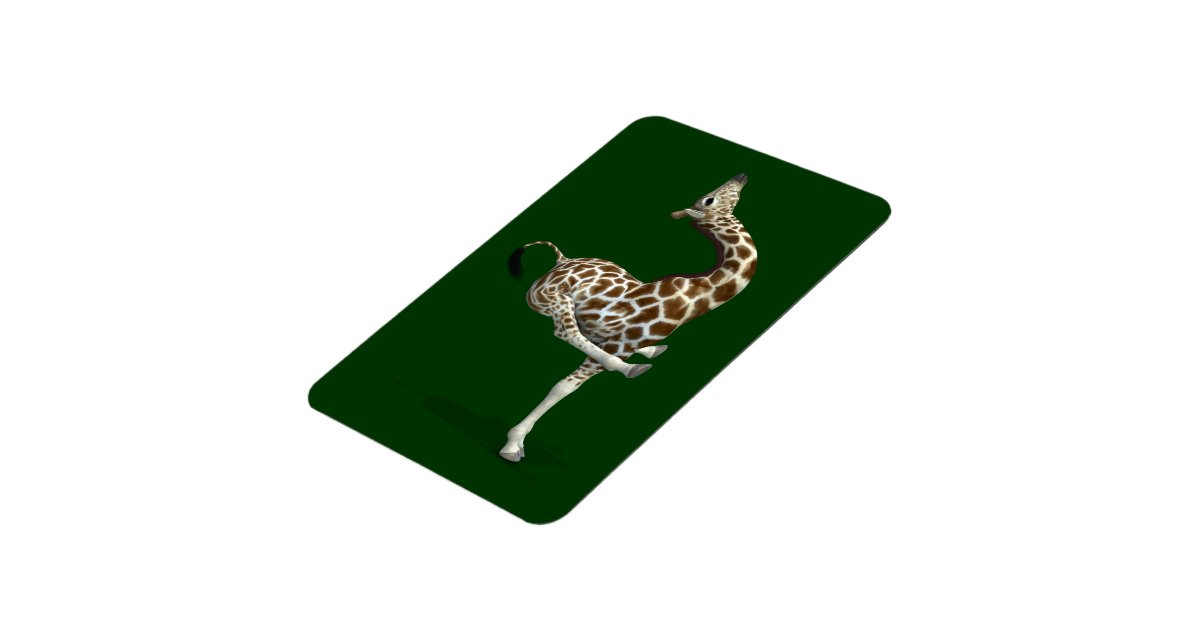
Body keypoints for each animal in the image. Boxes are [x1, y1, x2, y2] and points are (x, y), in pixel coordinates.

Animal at [499, 173, 757, 462]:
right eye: (708, 199)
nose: (741, 177)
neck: (689, 300)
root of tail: (561, 260)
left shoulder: (618, 341)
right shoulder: (618, 343)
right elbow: (563, 386)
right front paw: (512, 446)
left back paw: (651, 352)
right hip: (552, 299)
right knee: (566, 332)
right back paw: (632, 365)